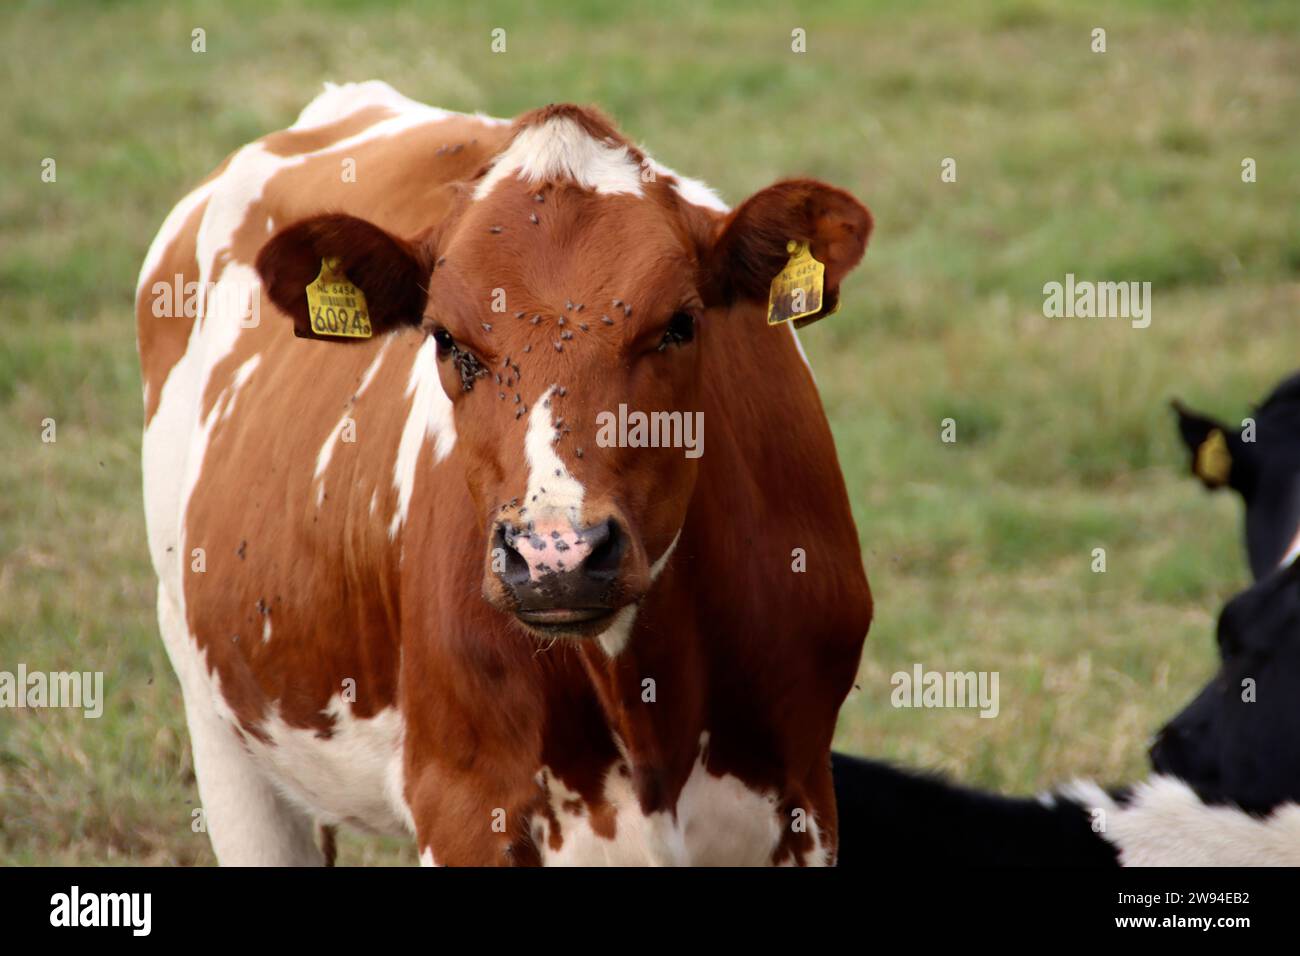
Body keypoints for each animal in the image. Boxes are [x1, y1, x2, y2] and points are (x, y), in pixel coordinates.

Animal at [136, 82, 875, 866]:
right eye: (446, 339)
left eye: (680, 324)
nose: (558, 556)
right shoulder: (464, 805)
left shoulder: (803, 797)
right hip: (222, 732)